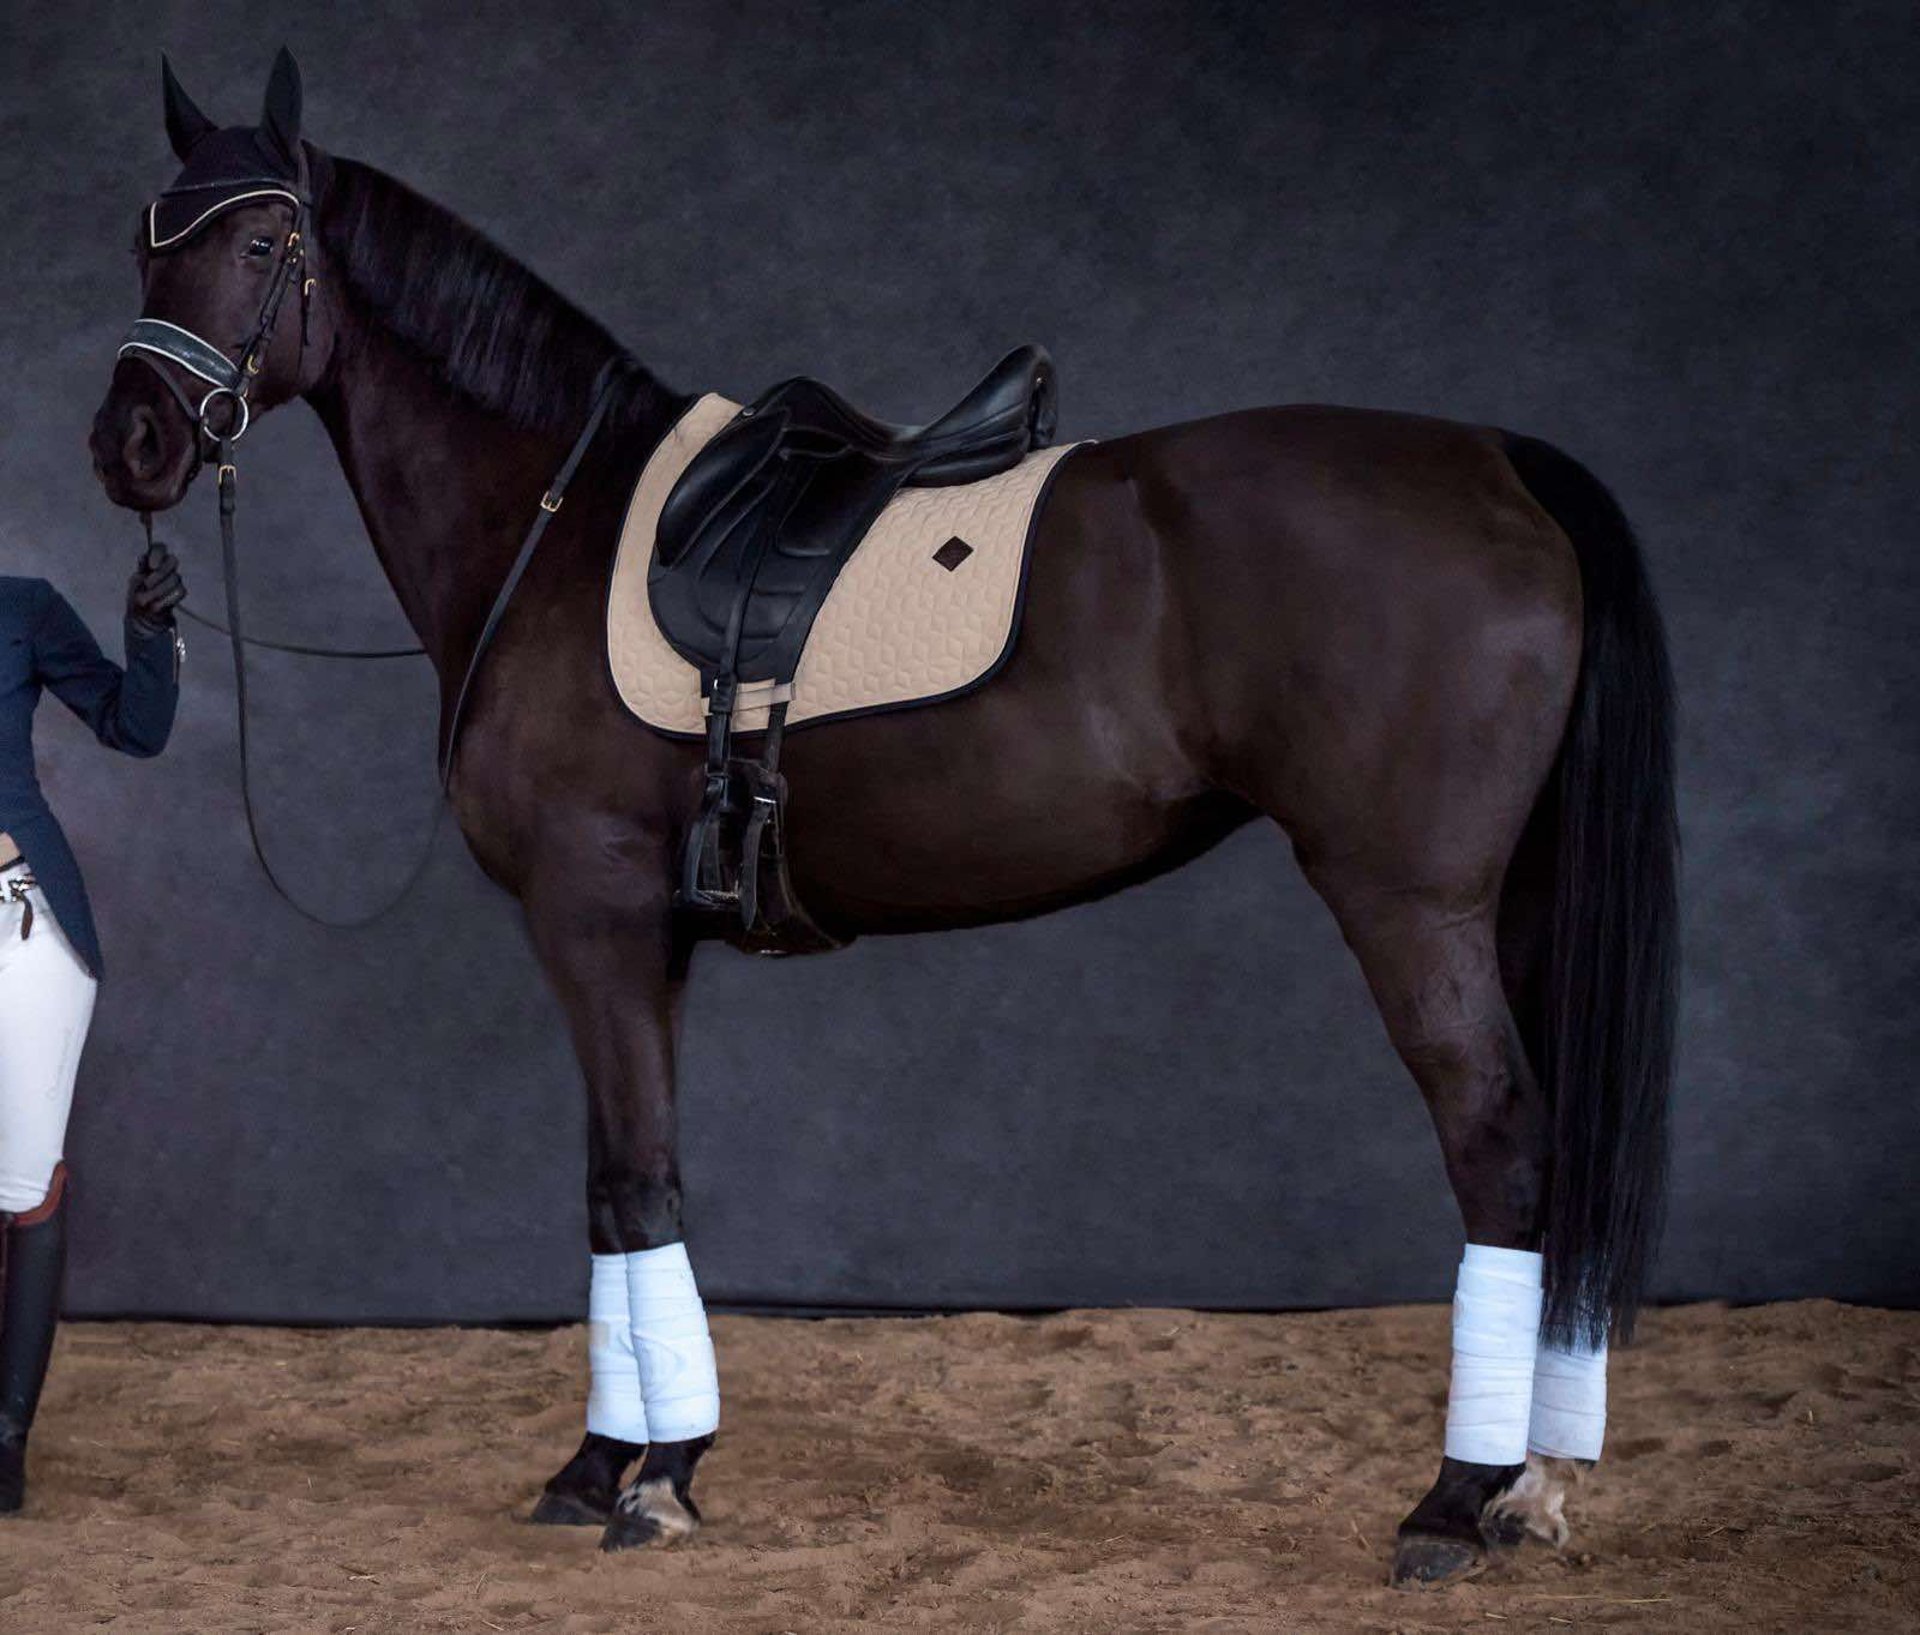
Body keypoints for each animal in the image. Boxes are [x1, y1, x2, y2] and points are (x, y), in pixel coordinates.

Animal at [88, 54, 1676, 1588]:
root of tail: (1497, 459)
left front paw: (656, 1479)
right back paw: (1531, 1483)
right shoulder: (641, 940)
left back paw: (1455, 1499)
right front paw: (599, 1463)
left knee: (1501, 1150)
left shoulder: (591, 917)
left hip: (1409, 904)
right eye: (144, 239)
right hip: (1513, 903)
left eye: (261, 240)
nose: (134, 442)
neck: (556, 524)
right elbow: (611, 1191)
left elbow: (637, 1184)